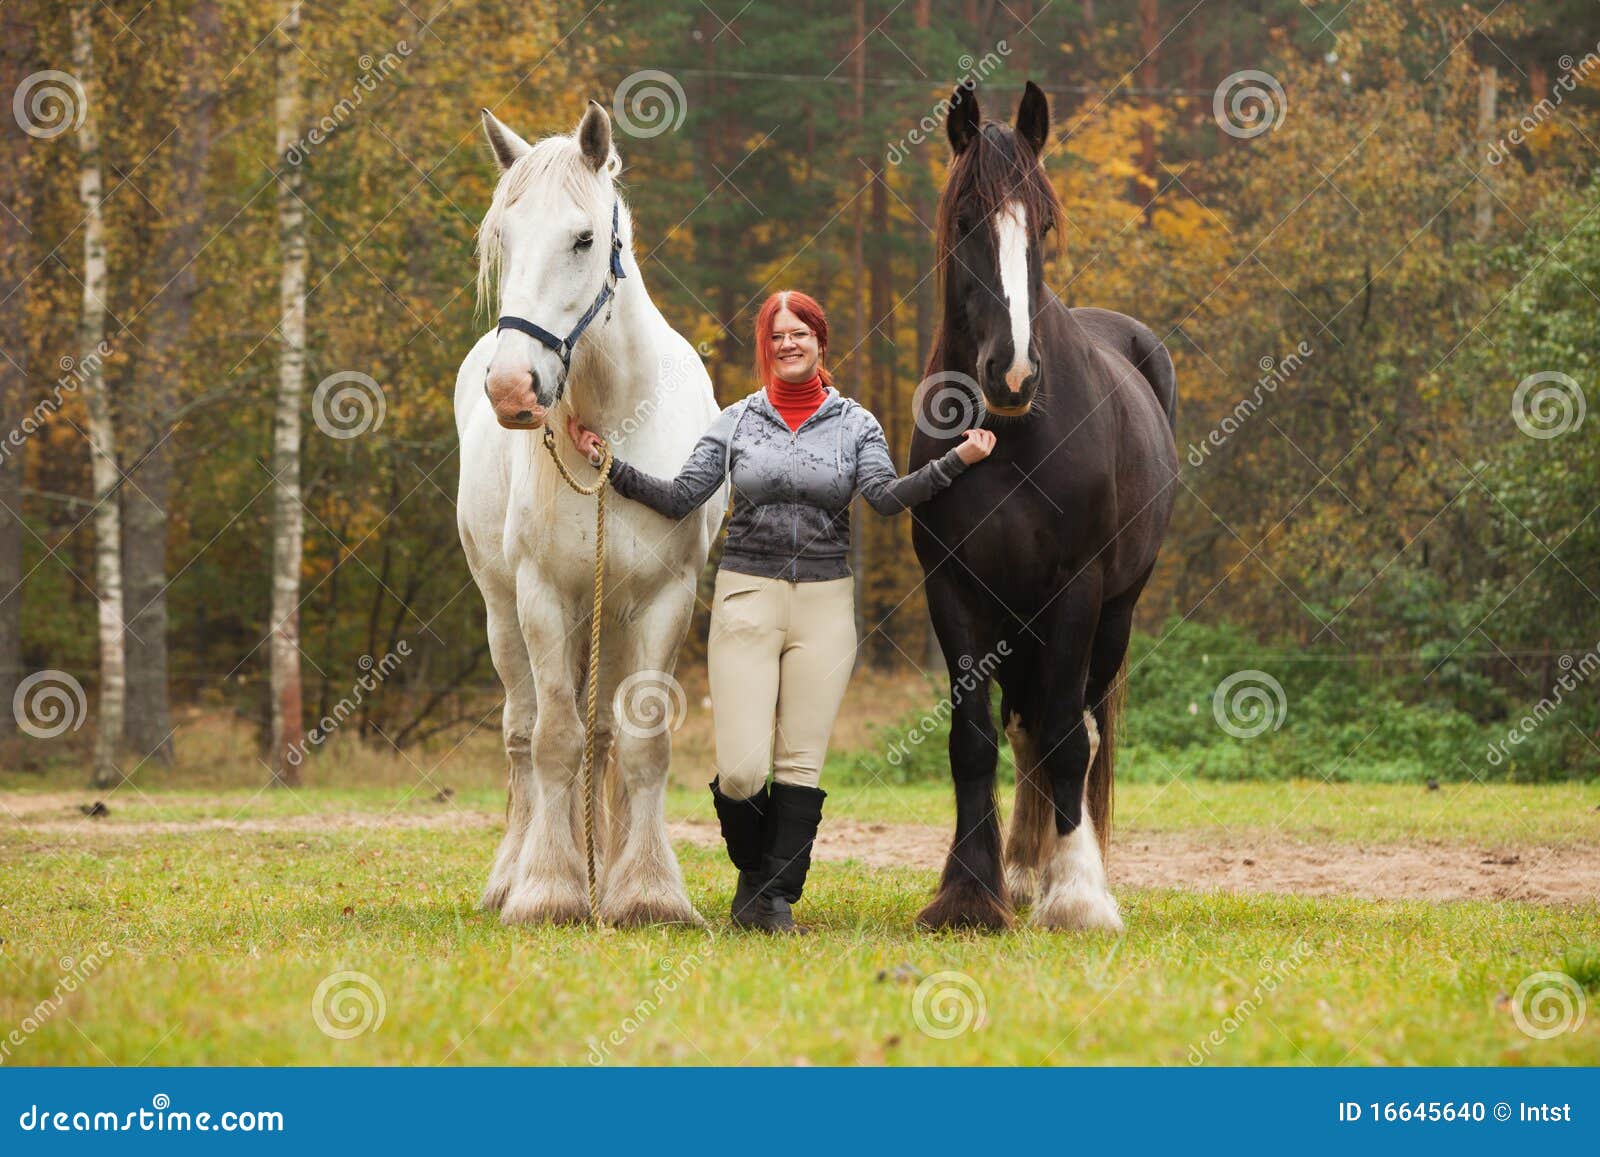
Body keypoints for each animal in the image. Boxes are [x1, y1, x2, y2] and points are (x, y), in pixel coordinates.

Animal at [455, 100, 720, 926]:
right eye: (504, 239)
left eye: (583, 239)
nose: (512, 387)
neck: (615, 418)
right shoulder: (543, 596)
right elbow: (552, 739)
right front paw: (547, 887)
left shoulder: (664, 599)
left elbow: (640, 743)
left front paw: (649, 891)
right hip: (503, 611)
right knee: (522, 731)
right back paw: (514, 873)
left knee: (604, 735)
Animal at [908, 81, 1179, 932]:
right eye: (966, 220)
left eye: (1045, 225)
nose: (1014, 372)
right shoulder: (954, 587)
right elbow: (972, 738)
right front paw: (968, 891)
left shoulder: (1077, 589)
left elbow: (1067, 736)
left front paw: (1081, 895)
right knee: (1025, 724)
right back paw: (1024, 868)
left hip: (1113, 614)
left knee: (1073, 725)